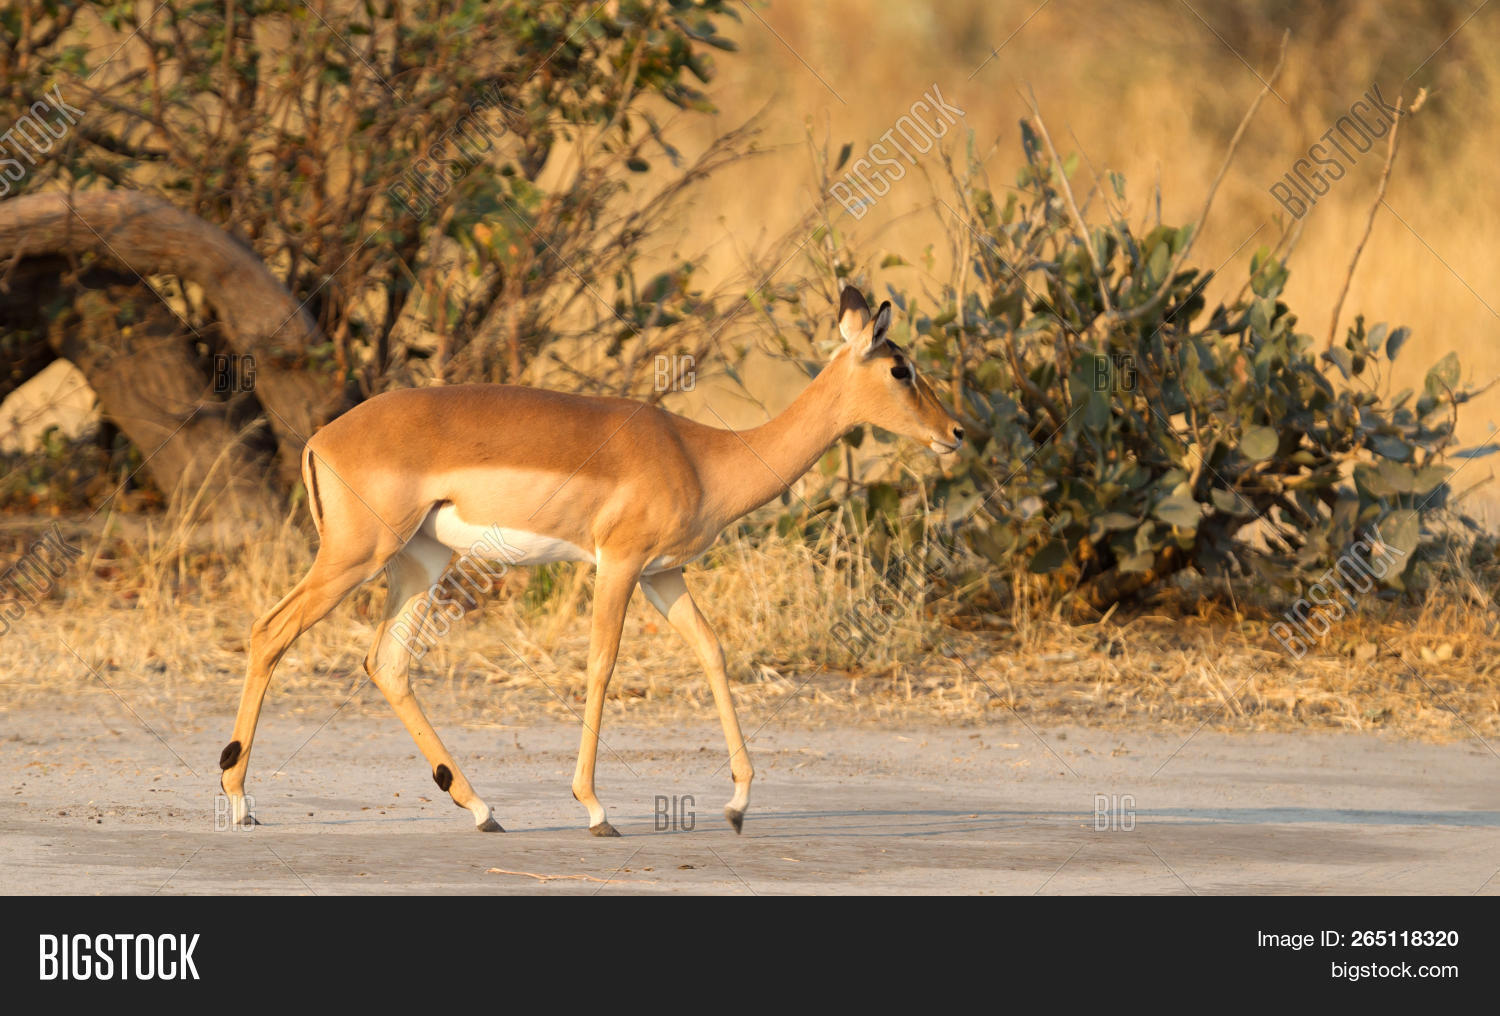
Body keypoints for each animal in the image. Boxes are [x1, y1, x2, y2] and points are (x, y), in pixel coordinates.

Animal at [219, 285, 964, 836]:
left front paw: (737, 804)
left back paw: (482, 809)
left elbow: (712, 651)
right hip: (356, 557)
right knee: (270, 631)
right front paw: (596, 808)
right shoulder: (620, 563)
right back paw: (240, 800)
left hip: (419, 563)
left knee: (387, 662)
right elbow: (603, 664)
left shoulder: (666, 573)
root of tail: (320, 439)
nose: (955, 432)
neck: (704, 456)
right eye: (900, 368)